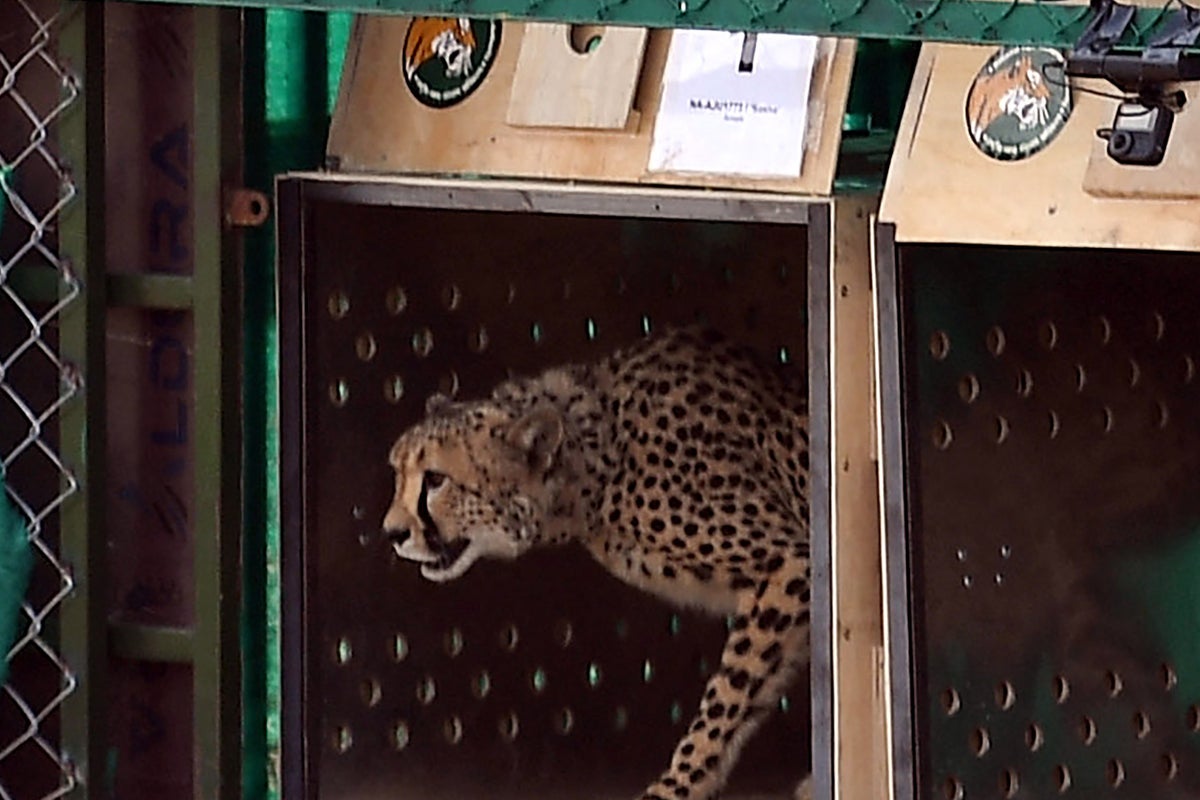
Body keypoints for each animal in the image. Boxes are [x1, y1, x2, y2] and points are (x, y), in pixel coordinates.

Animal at [383, 326, 813, 800]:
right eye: (398, 474)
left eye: (436, 479)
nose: (392, 533)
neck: (597, 464)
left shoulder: (789, 560)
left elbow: (729, 693)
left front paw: (679, 784)